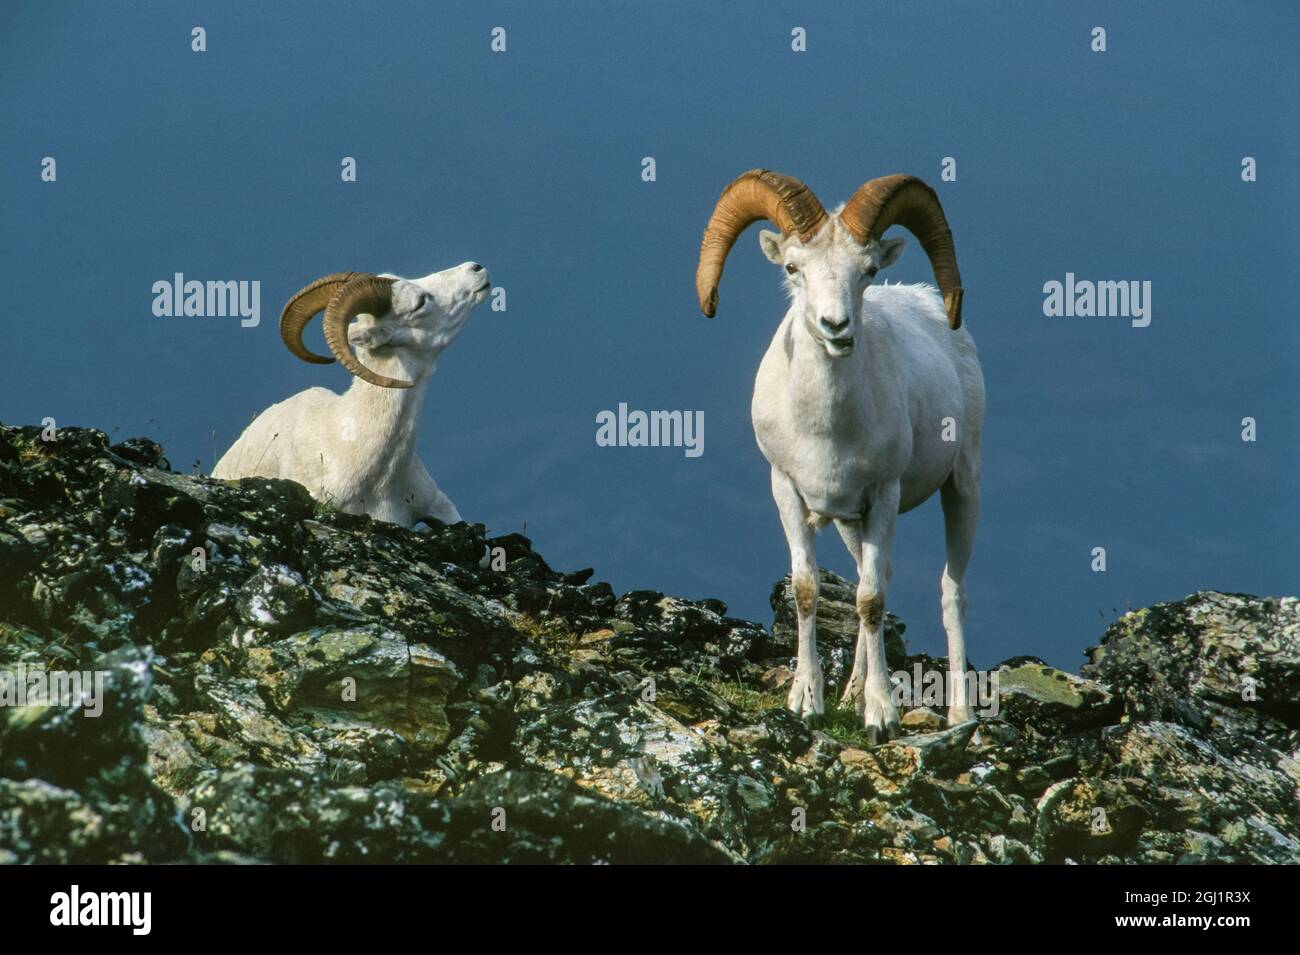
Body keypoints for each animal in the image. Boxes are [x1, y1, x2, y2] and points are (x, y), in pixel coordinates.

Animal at [695, 170, 984, 741]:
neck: (825, 429)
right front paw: (809, 702)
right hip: (855, 523)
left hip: (961, 487)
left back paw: (960, 715)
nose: (836, 327)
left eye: (867, 271)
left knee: (951, 592)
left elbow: (870, 601)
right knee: (877, 577)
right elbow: (810, 589)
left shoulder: (885, 494)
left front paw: (880, 717)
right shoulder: (787, 488)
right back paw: (850, 692)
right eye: (793, 268)